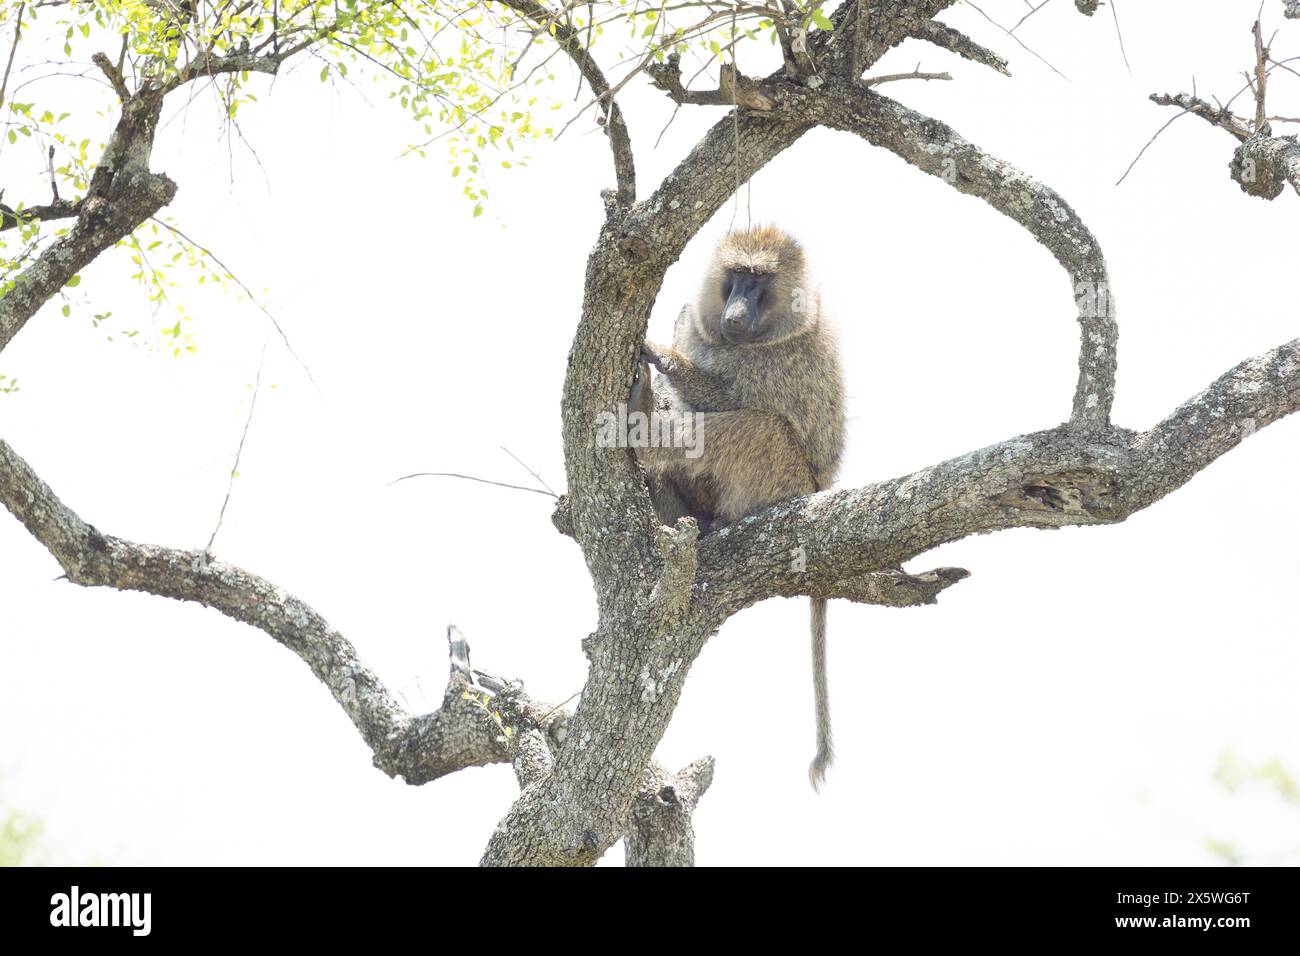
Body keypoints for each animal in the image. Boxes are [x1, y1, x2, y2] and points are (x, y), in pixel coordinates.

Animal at [630, 225, 845, 789]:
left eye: (759, 280)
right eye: (735, 276)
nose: (734, 315)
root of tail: (817, 490)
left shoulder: (782, 360)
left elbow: (731, 402)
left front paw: (660, 354)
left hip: (783, 478)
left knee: (754, 425)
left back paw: (646, 432)